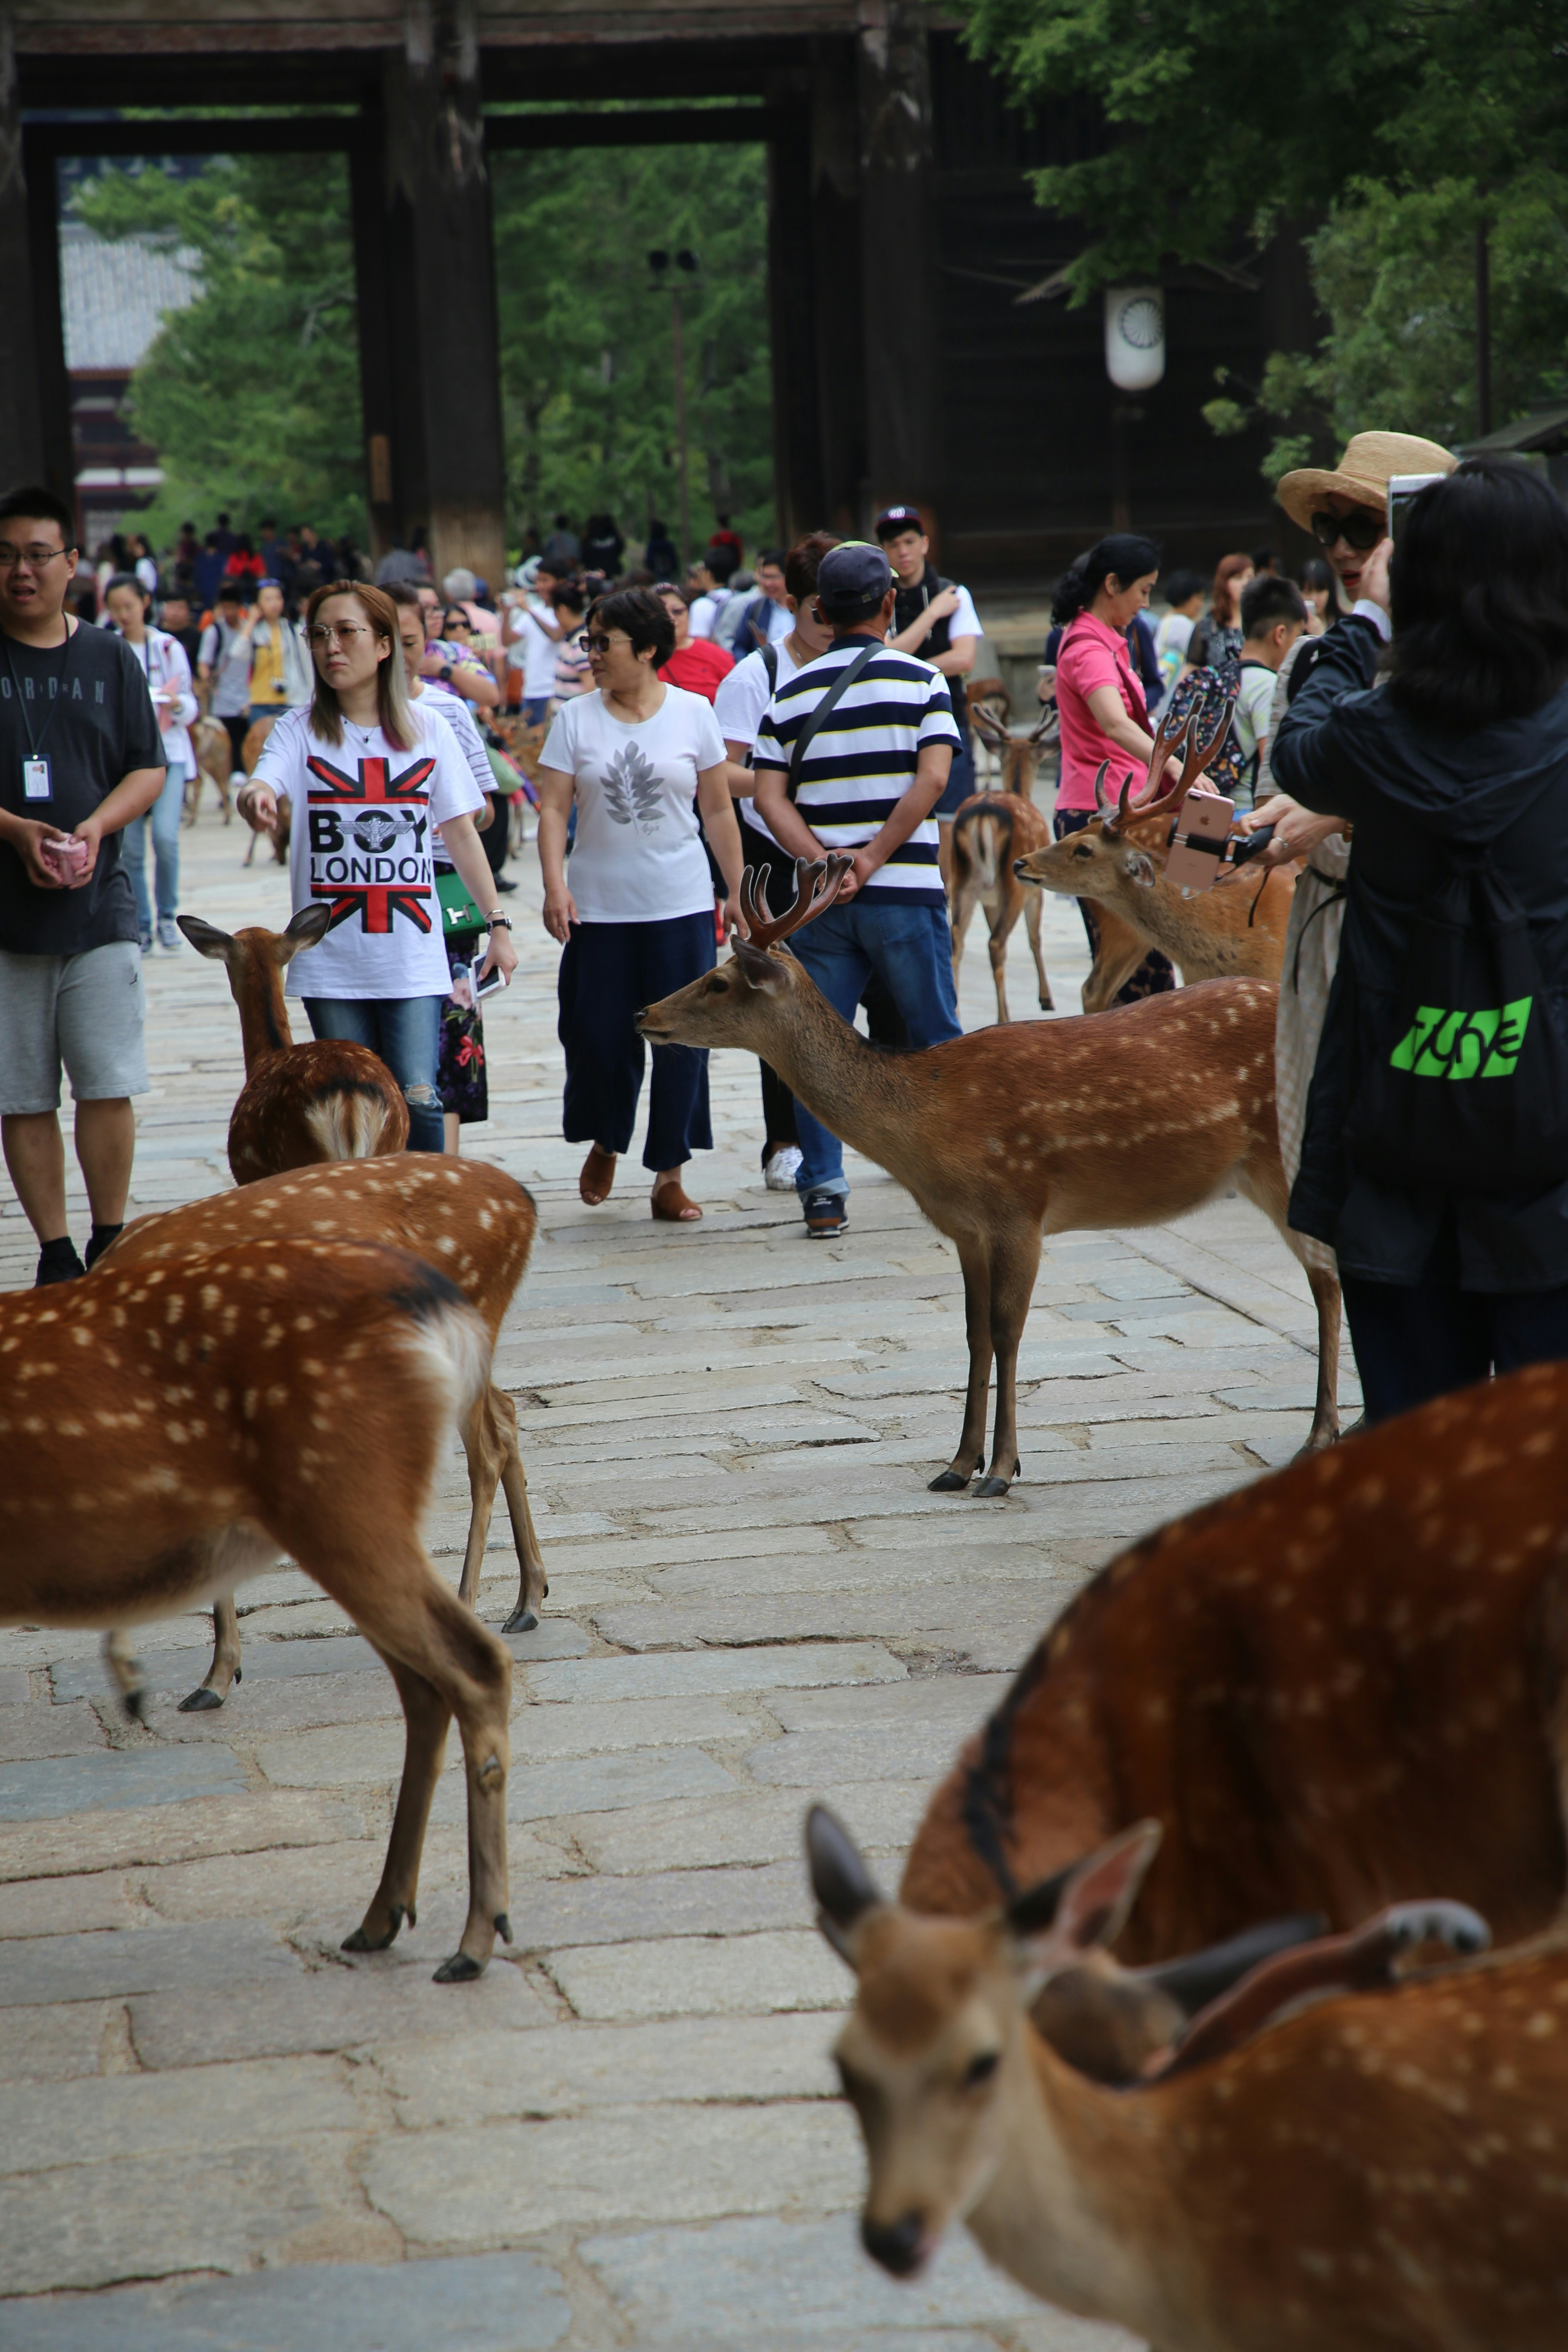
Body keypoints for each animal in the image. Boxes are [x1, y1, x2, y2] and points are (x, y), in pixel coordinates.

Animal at [0, 1236, 518, 1982]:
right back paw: (381, 1917)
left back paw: (472, 1941)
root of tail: (435, 1300)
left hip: (344, 1493)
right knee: (426, 1684)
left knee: (475, 1662)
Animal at [100, 1155, 546, 1714]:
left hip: (474, 1313)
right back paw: (528, 1601)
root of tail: (524, 1203)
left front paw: (208, 1676)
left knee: (486, 1449)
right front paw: (216, 1676)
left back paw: (469, 1611)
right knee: (506, 1415)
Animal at [637, 856, 1340, 1493]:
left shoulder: (1019, 1208)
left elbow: (1008, 1333)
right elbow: (974, 1336)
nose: (644, 1014)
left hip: (1283, 1159)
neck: (929, 1129)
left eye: (719, 981)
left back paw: (1320, 1435)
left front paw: (1001, 1471)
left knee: (1326, 1280)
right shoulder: (967, 1230)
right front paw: (955, 1466)